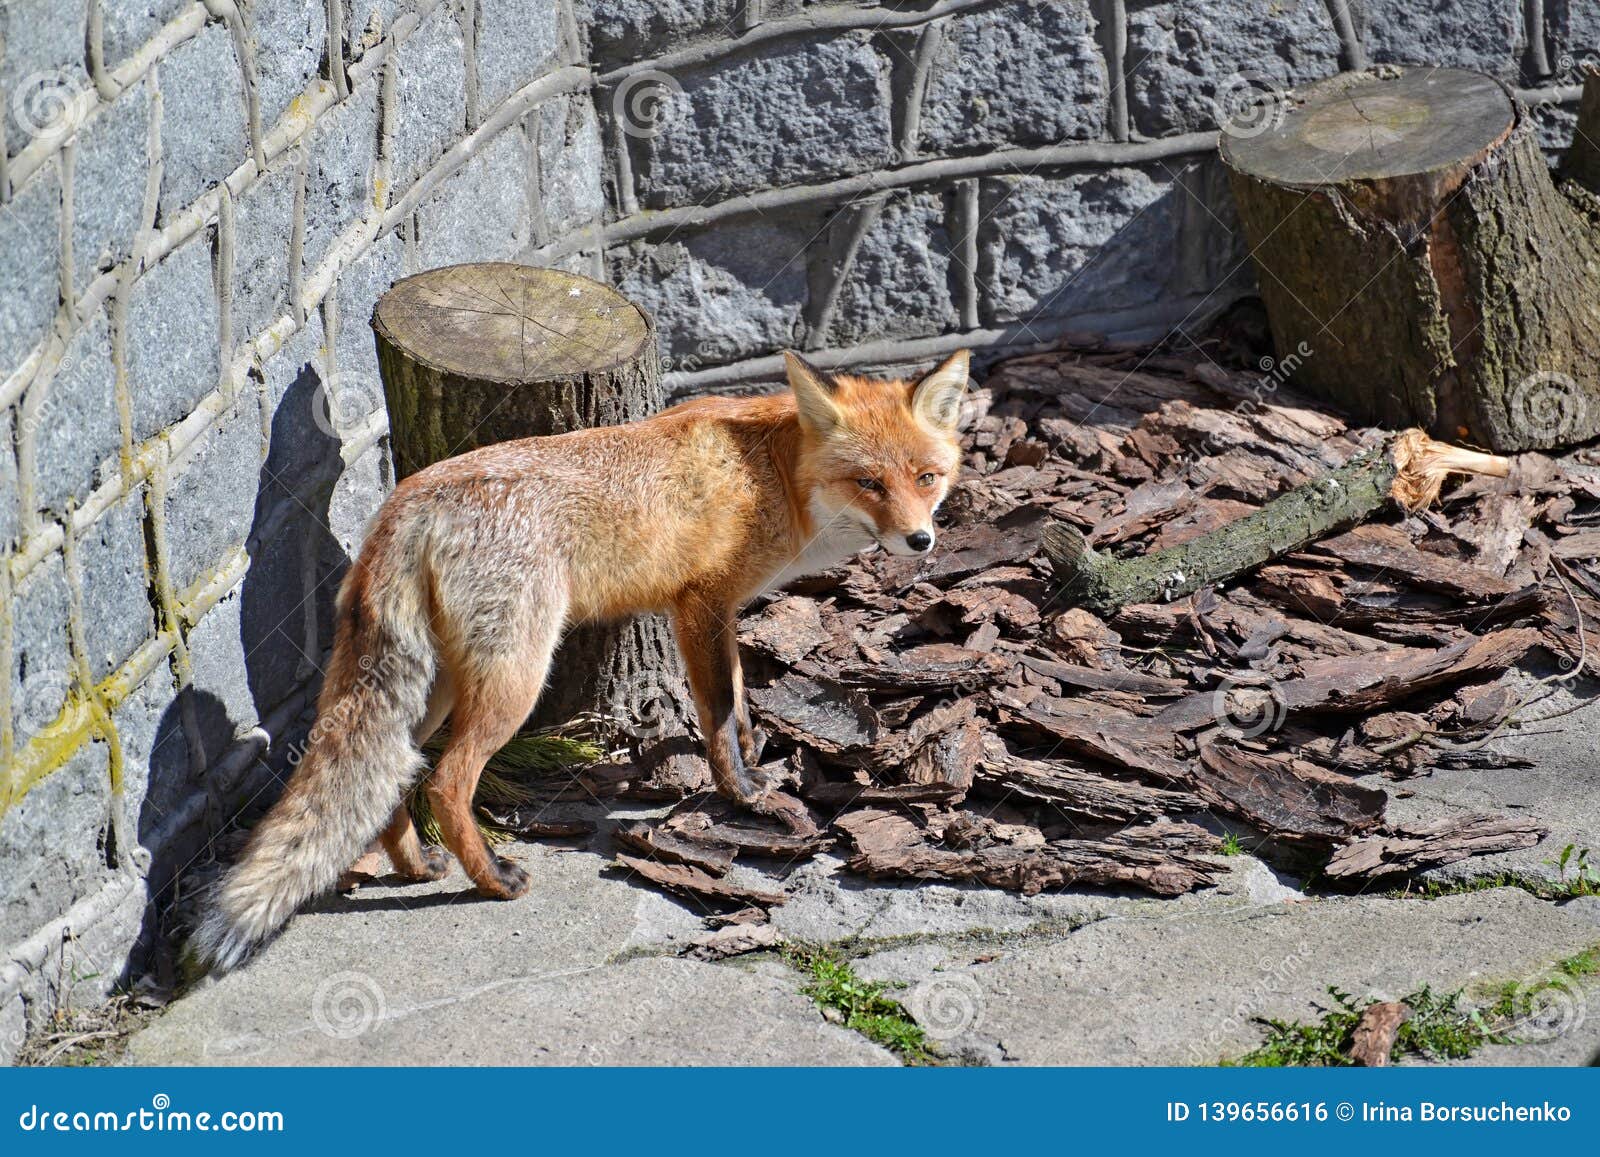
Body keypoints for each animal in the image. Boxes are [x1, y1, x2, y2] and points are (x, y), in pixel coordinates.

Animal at [192, 348, 972, 971]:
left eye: (927, 477)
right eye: (869, 483)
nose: (921, 541)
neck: (771, 473)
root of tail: (407, 501)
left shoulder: (718, 613)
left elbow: (741, 697)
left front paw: (756, 756)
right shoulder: (701, 604)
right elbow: (719, 712)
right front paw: (743, 794)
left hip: (435, 688)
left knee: (397, 772)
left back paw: (415, 866)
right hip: (515, 677)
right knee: (446, 779)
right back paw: (492, 879)